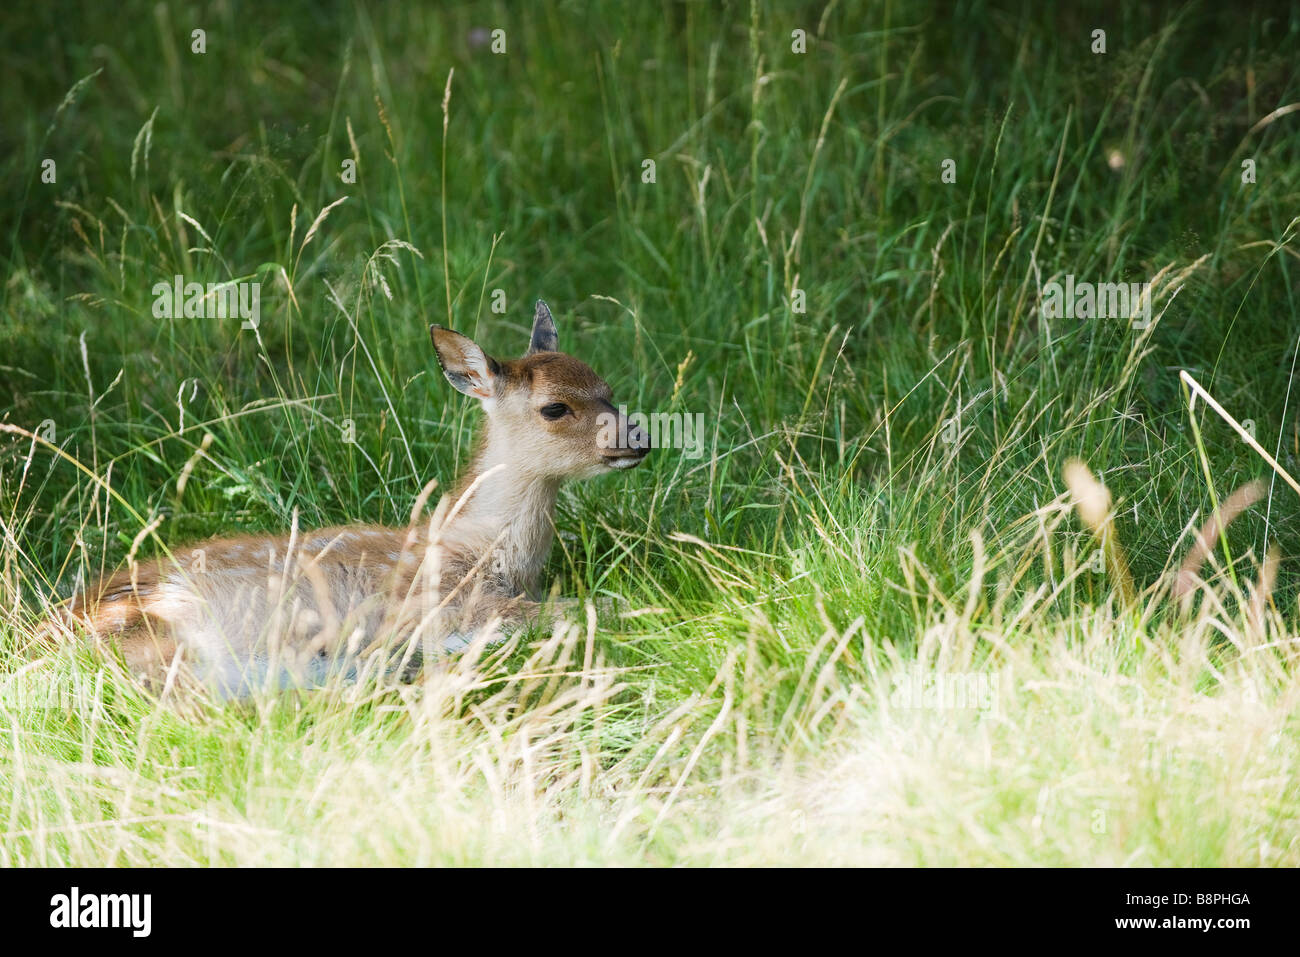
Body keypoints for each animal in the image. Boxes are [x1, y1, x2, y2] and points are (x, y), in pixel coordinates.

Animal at [37, 301, 650, 697]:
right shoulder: (445, 601)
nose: (640, 438)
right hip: (180, 641)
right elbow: (590, 608)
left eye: (608, 390)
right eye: (554, 408)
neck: (484, 548)